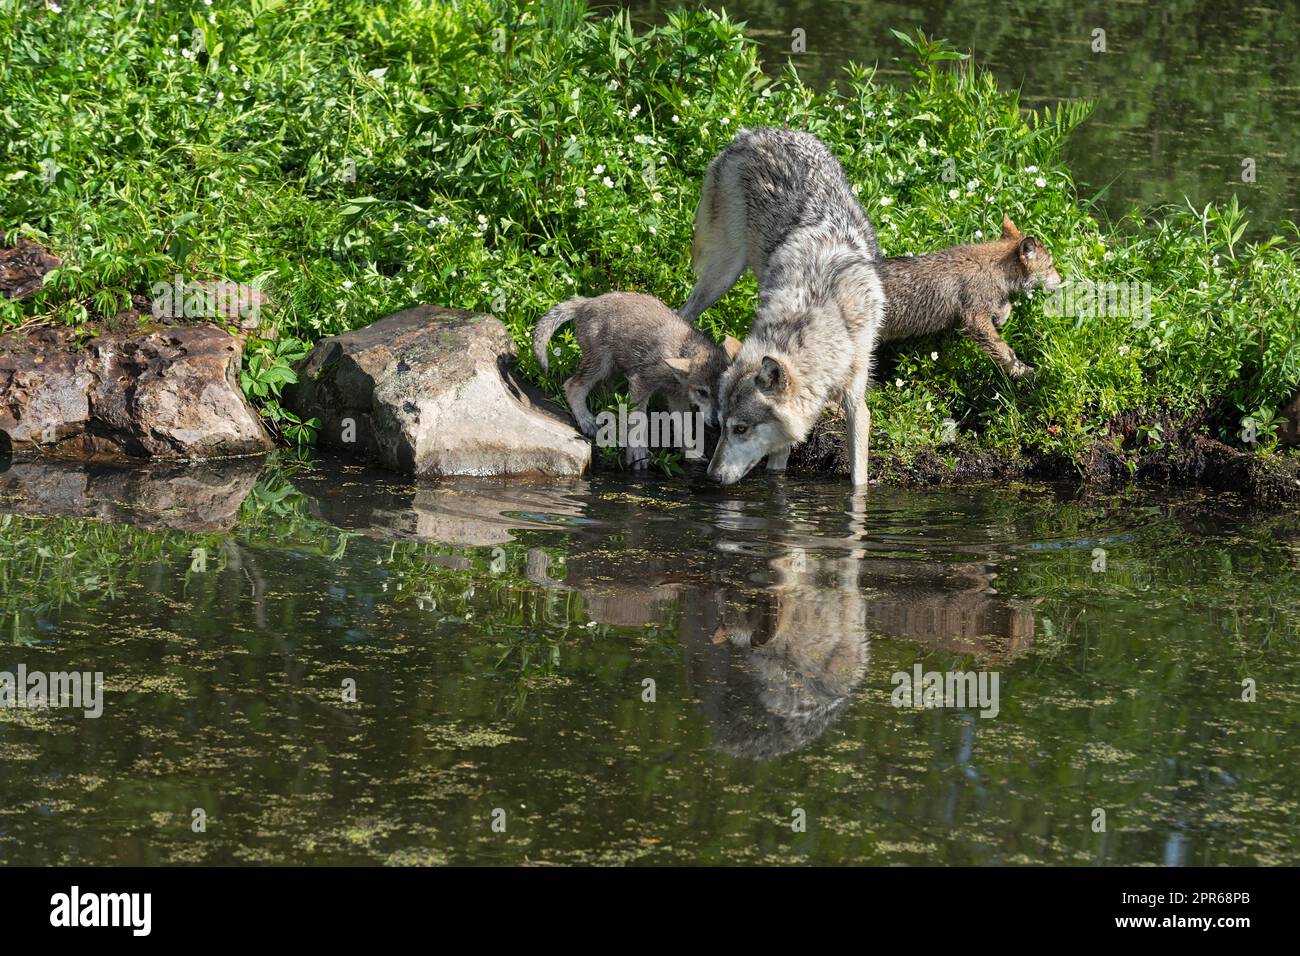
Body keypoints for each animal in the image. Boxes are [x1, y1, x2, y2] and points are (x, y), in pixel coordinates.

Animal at [532, 291, 733, 468]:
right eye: (702, 392)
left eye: (725, 395)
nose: (717, 424)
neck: (681, 350)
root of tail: (586, 302)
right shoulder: (641, 383)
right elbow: (638, 420)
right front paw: (637, 454)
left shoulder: (677, 397)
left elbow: (684, 429)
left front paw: (693, 455)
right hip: (601, 363)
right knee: (572, 386)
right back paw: (586, 421)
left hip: (609, 367)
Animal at [677, 128, 886, 487]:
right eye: (720, 425)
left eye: (741, 429)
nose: (713, 476)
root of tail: (751, 133)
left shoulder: (857, 403)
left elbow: (858, 475)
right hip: (724, 274)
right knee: (683, 313)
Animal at [878, 215, 1063, 377]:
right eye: (1050, 266)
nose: (1061, 279)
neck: (995, 269)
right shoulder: (975, 319)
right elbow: (1005, 352)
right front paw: (1026, 373)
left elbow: (1005, 306)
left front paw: (1001, 316)